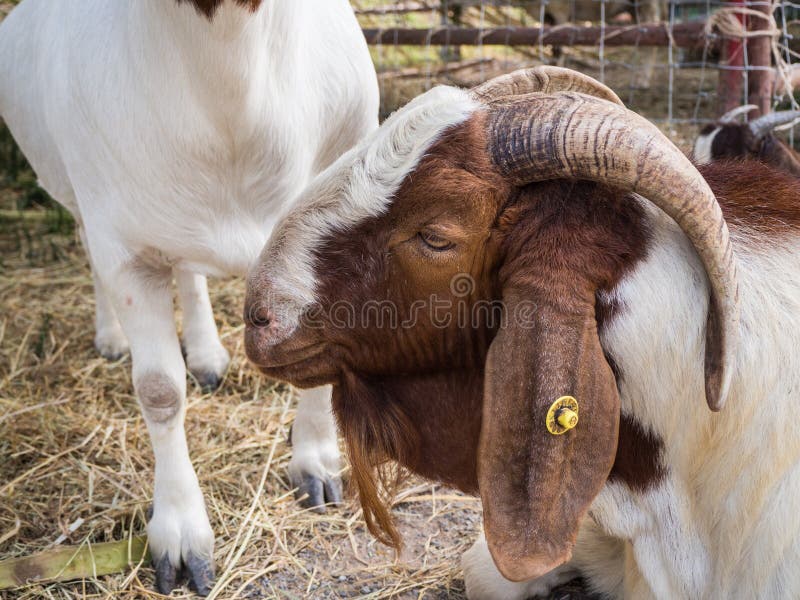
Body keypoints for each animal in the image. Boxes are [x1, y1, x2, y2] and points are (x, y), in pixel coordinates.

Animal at [0, 0, 378, 593]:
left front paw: (317, 461)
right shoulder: (123, 244)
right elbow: (159, 391)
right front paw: (180, 532)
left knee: (187, 274)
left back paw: (205, 354)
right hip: (81, 196)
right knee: (90, 246)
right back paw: (112, 337)